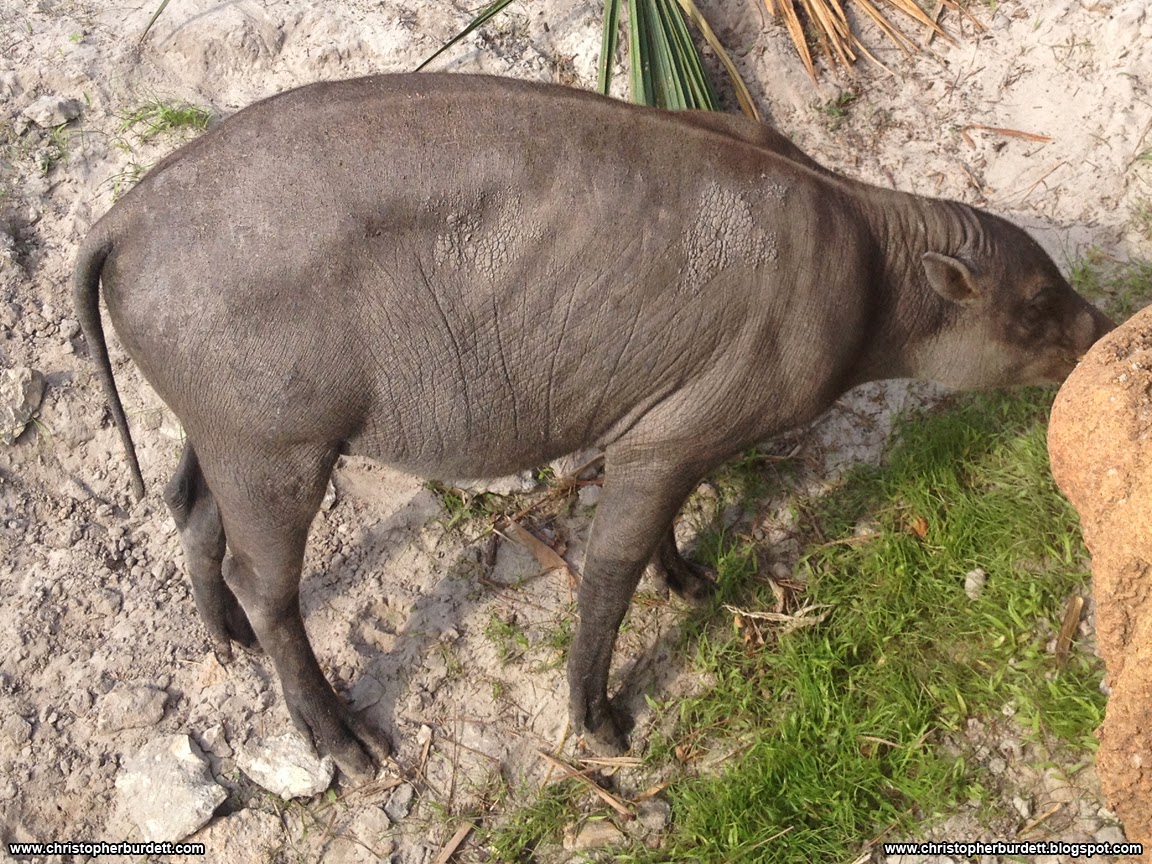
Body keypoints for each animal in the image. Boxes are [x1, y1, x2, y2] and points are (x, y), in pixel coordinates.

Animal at [73, 73, 1114, 781]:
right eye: (1033, 306)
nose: (1105, 328)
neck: (875, 273)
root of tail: (117, 219)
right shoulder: (672, 433)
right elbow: (610, 568)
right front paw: (602, 725)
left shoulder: (670, 427)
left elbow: (661, 532)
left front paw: (693, 583)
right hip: (277, 448)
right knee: (267, 583)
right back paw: (345, 743)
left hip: (223, 434)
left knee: (192, 511)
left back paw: (225, 643)